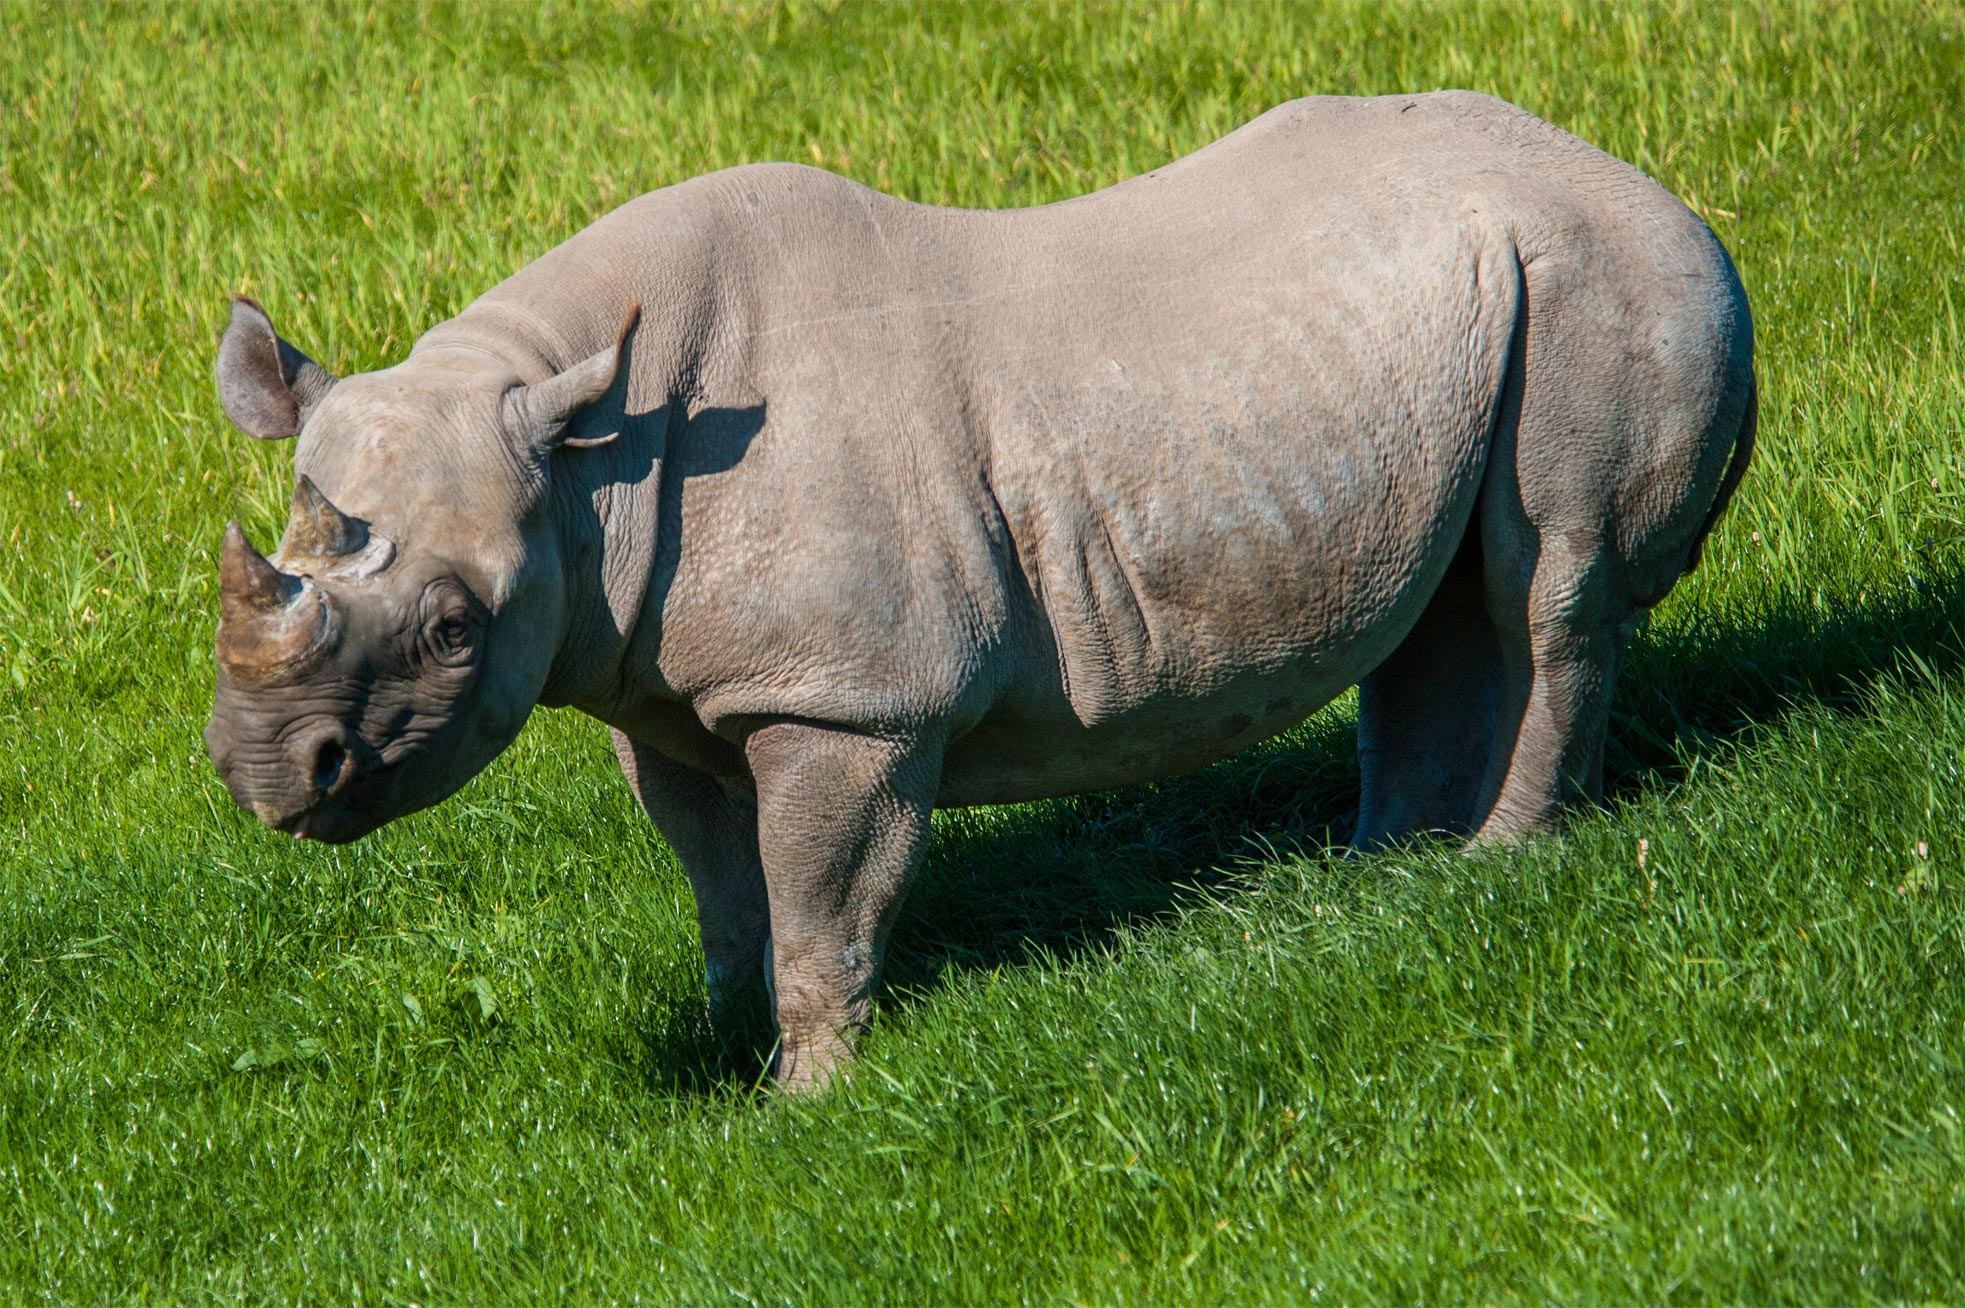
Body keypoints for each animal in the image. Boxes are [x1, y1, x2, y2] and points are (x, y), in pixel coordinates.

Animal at [205, 91, 1755, 1088]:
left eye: (453, 628)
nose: (265, 774)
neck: (585, 471)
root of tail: (1669, 194)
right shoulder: (662, 687)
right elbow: (721, 888)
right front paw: (722, 1057)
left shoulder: (849, 702)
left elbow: (821, 900)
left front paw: (811, 1096)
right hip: (1487, 307)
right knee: (1445, 607)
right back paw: (1383, 885)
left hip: (1604, 279)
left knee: (1549, 586)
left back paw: (1502, 864)